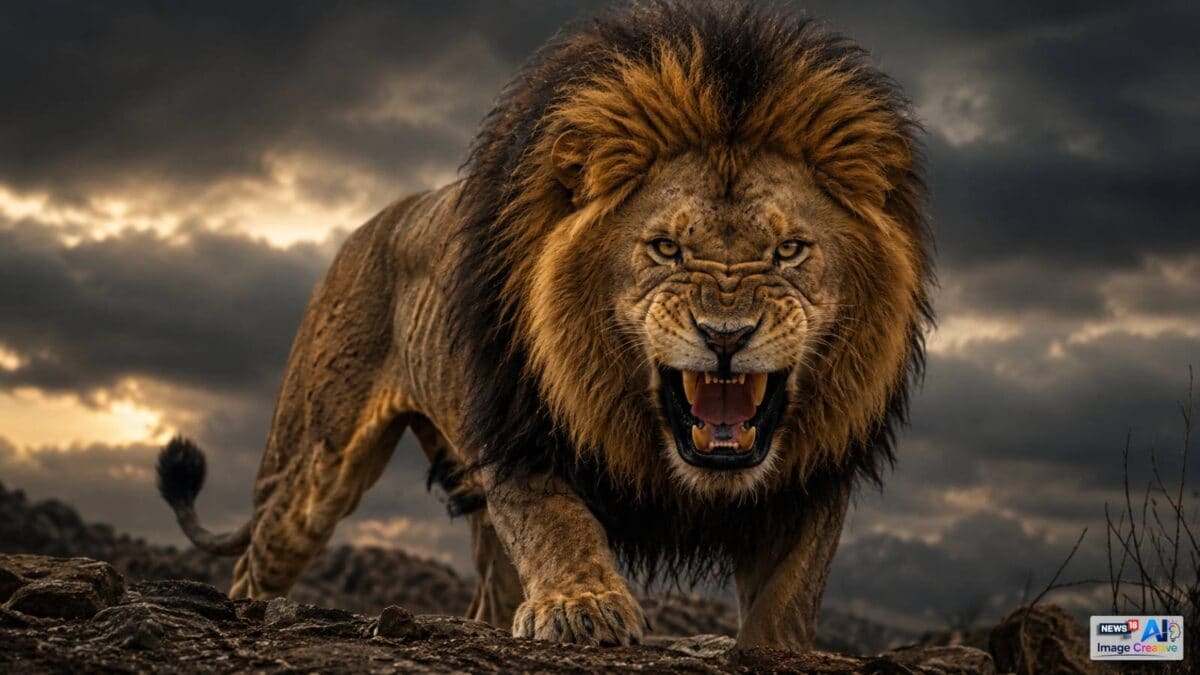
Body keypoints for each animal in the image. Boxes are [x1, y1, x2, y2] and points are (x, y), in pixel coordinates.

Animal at [155, 0, 931, 651]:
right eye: (665, 249)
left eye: (790, 250)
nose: (726, 335)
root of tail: (366, 227)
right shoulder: (517, 426)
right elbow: (556, 522)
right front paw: (583, 607)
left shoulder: (815, 469)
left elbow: (791, 588)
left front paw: (777, 647)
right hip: (316, 458)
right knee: (265, 550)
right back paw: (251, 611)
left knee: (488, 588)